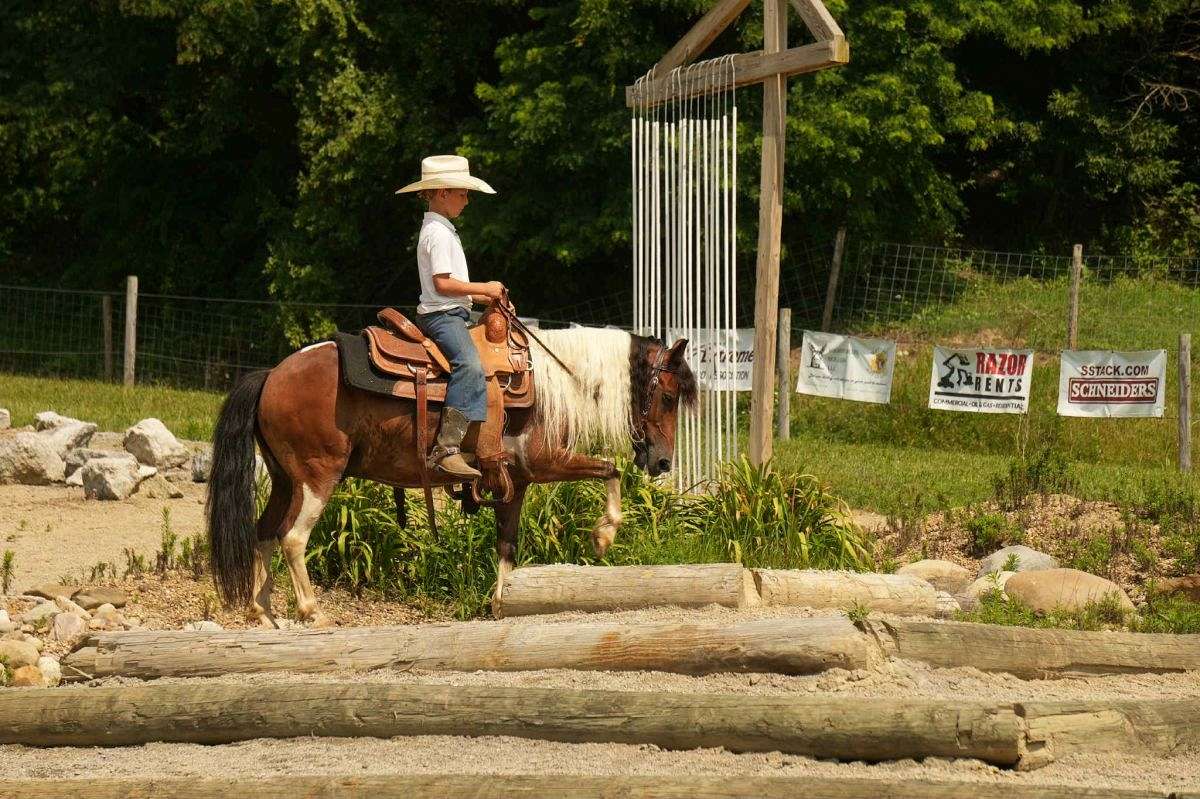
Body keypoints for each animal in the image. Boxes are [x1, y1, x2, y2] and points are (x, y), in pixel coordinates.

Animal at [205, 326, 698, 626]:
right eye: (668, 395)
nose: (663, 463)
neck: (552, 385)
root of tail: (272, 375)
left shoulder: (514, 483)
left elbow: (507, 545)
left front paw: (499, 603)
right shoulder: (542, 463)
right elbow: (610, 471)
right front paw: (603, 535)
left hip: (285, 480)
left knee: (263, 533)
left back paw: (264, 612)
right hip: (317, 477)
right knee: (292, 538)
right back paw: (312, 611)